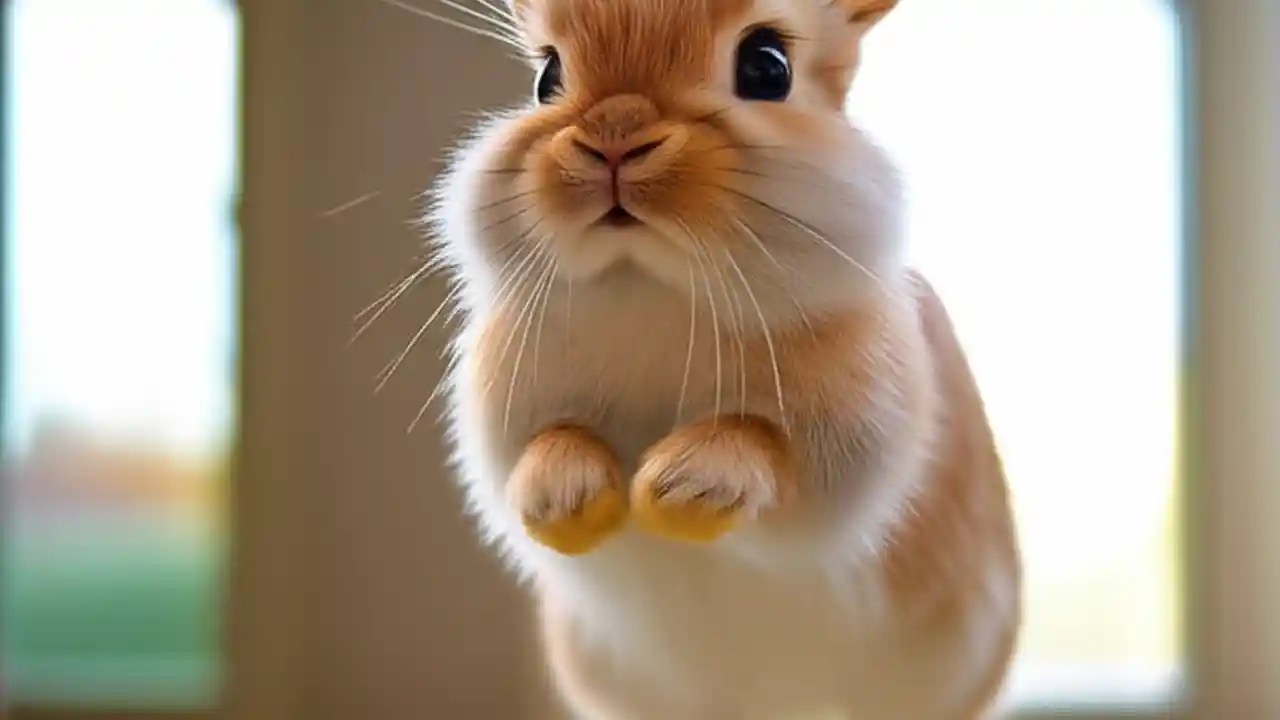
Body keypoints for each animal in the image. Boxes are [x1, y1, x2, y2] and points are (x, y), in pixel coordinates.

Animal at [429, 0, 1021, 717]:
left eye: (767, 68)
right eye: (548, 78)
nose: (615, 138)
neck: (654, 287)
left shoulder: (850, 445)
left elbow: (763, 448)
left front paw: (675, 487)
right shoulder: (507, 431)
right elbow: (549, 443)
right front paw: (572, 499)